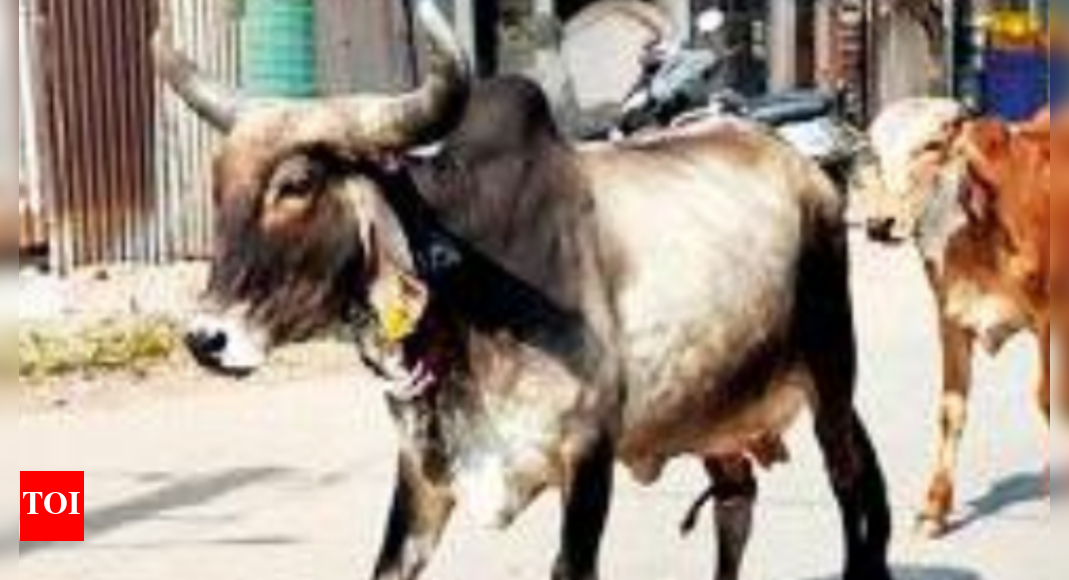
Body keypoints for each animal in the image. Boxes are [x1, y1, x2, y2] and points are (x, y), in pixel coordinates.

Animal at [158, 2, 893, 579]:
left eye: (297, 183)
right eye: (219, 182)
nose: (206, 338)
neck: (463, 299)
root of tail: (799, 165)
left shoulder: (587, 459)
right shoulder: (422, 476)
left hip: (831, 373)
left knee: (850, 486)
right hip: (717, 411)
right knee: (738, 506)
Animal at [859, 100, 1054, 537]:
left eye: (932, 146)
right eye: (875, 154)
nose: (879, 224)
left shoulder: (1053, 324)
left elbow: (1049, 400)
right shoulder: (950, 319)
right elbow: (951, 410)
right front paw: (934, 508)